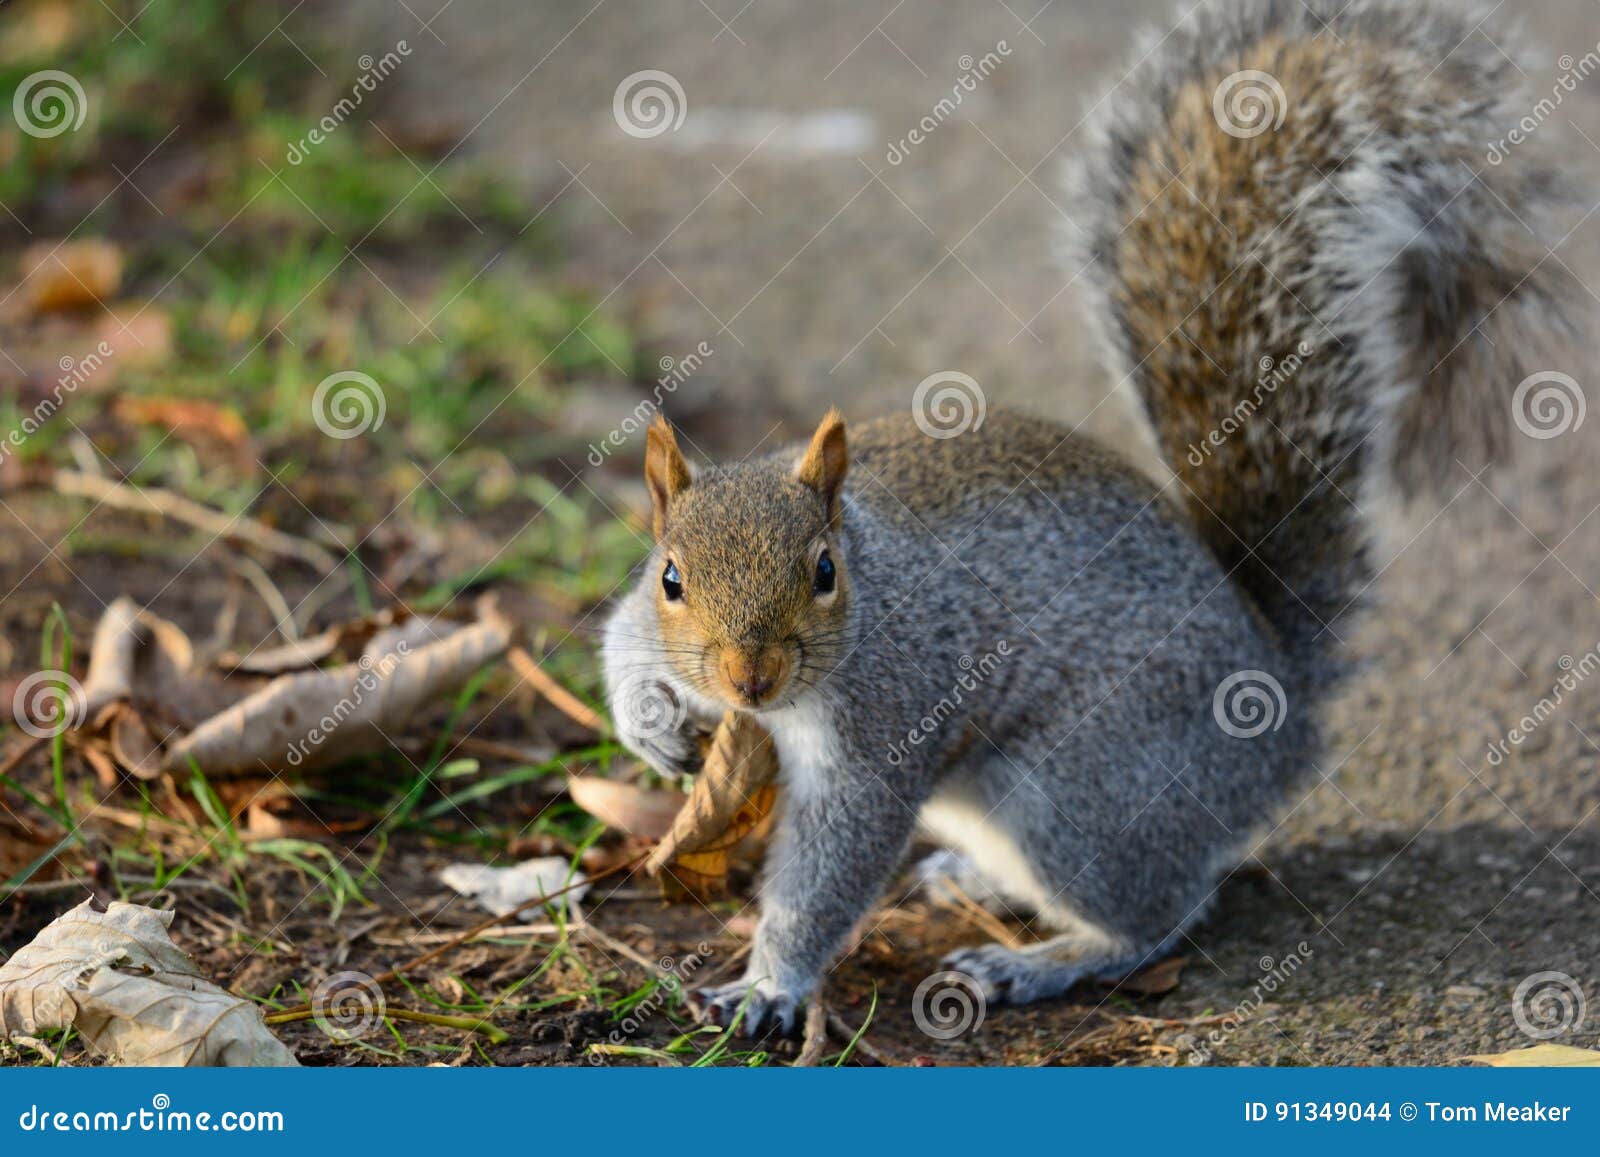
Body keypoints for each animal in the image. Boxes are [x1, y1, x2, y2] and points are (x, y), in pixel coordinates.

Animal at [601, 0, 1574, 1035]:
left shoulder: (888, 719)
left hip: (1081, 791)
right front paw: (650, 723)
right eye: (670, 576)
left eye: (824, 573)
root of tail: (1284, 706)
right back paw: (970, 875)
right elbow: (620, 639)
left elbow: (836, 860)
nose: (747, 679)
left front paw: (769, 983)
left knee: (1163, 912)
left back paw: (1038, 959)